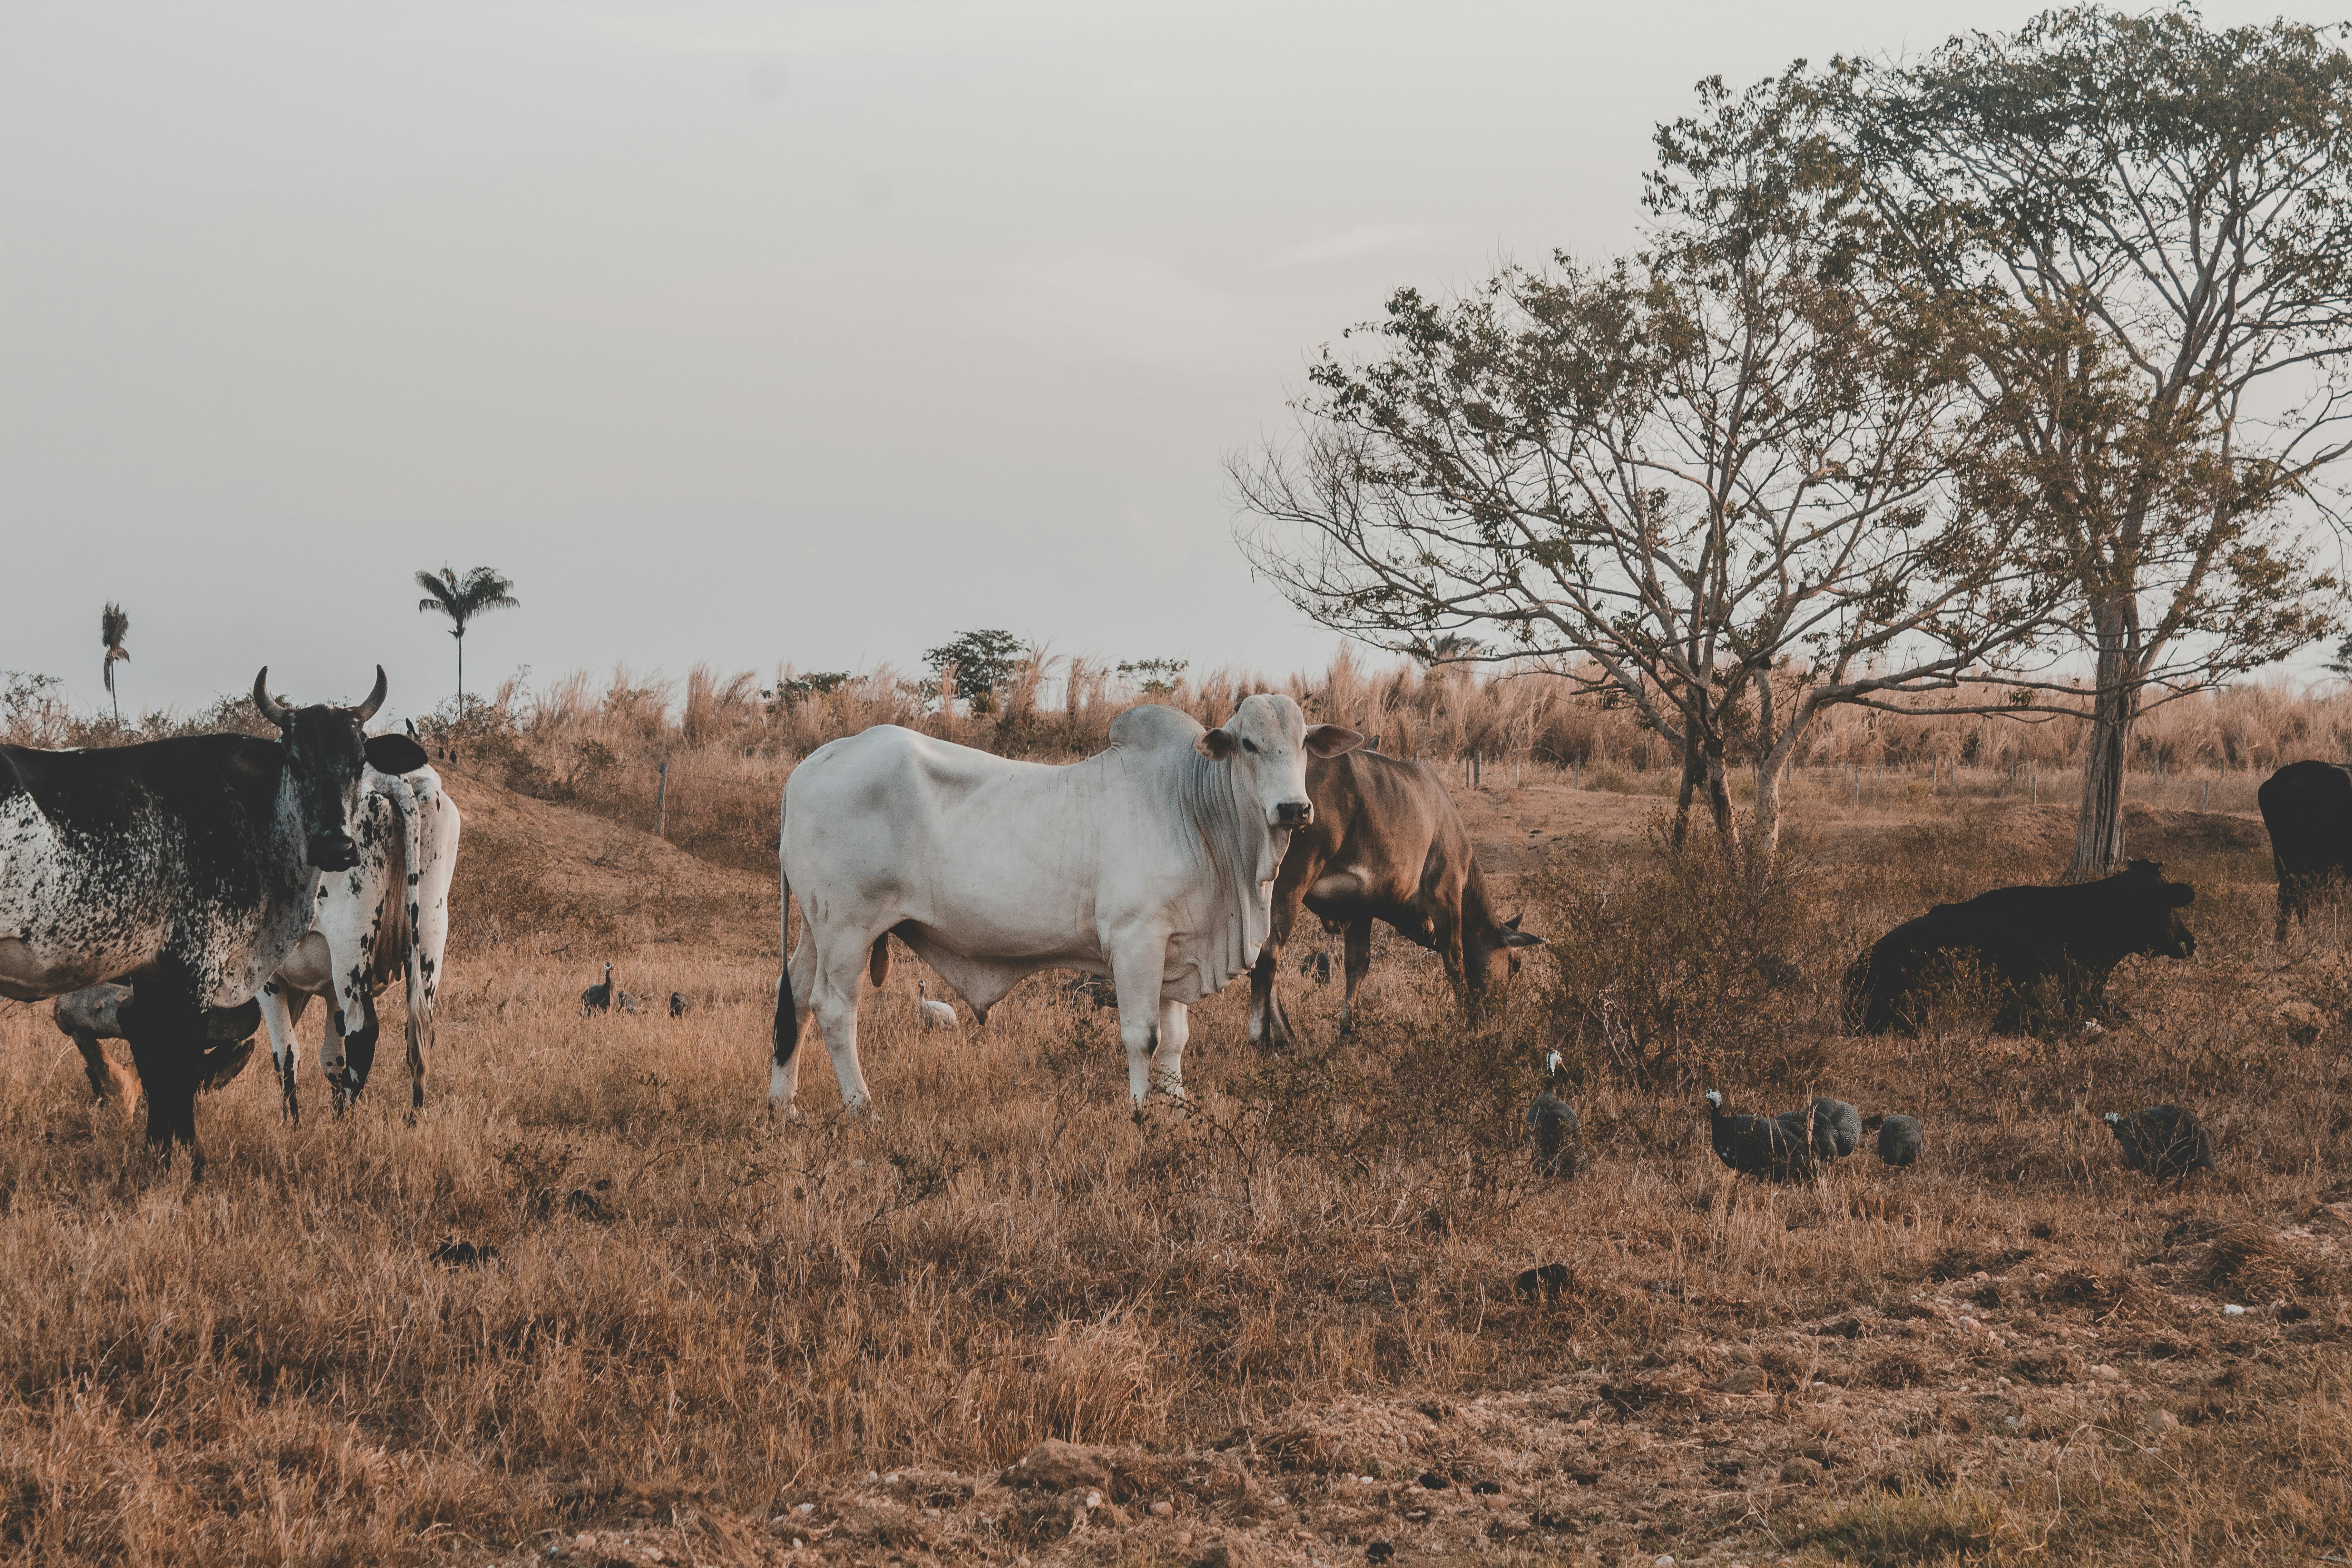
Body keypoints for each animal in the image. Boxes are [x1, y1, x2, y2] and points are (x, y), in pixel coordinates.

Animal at [2, 668, 384, 1173]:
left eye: (360, 763)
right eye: (297, 763)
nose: (337, 847)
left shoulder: (151, 971)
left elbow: (154, 1051)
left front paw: (160, 1149)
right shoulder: (194, 965)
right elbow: (177, 1059)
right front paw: (191, 1159)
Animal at [255, 735, 457, 1118]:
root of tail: (387, 779)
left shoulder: (269, 980)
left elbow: (286, 1056)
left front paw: (293, 1124)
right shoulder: (333, 993)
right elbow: (332, 1059)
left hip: (351, 946)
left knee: (364, 1034)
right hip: (428, 941)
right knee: (419, 1032)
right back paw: (412, 1118)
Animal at [772, 696, 1362, 1113]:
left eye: (1303, 743)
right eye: (1247, 744)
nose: (1294, 808)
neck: (1193, 806)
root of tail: (814, 762)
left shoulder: (1177, 946)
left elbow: (1176, 1041)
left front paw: (1177, 1109)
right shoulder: (1136, 940)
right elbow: (1144, 1037)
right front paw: (1142, 1112)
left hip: (816, 927)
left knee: (795, 995)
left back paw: (786, 1107)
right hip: (849, 927)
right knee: (833, 1008)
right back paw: (861, 1107)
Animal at [1245, 748, 1541, 1049]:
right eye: (1515, 965)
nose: (1497, 1014)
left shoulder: (1360, 906)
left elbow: (1358, 964)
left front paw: (1347, 1027)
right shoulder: (1445, 895)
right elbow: (1455, 957)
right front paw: (1468, 1021)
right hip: (1287, 885)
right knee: (1268, 955)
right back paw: (1269, 1037)